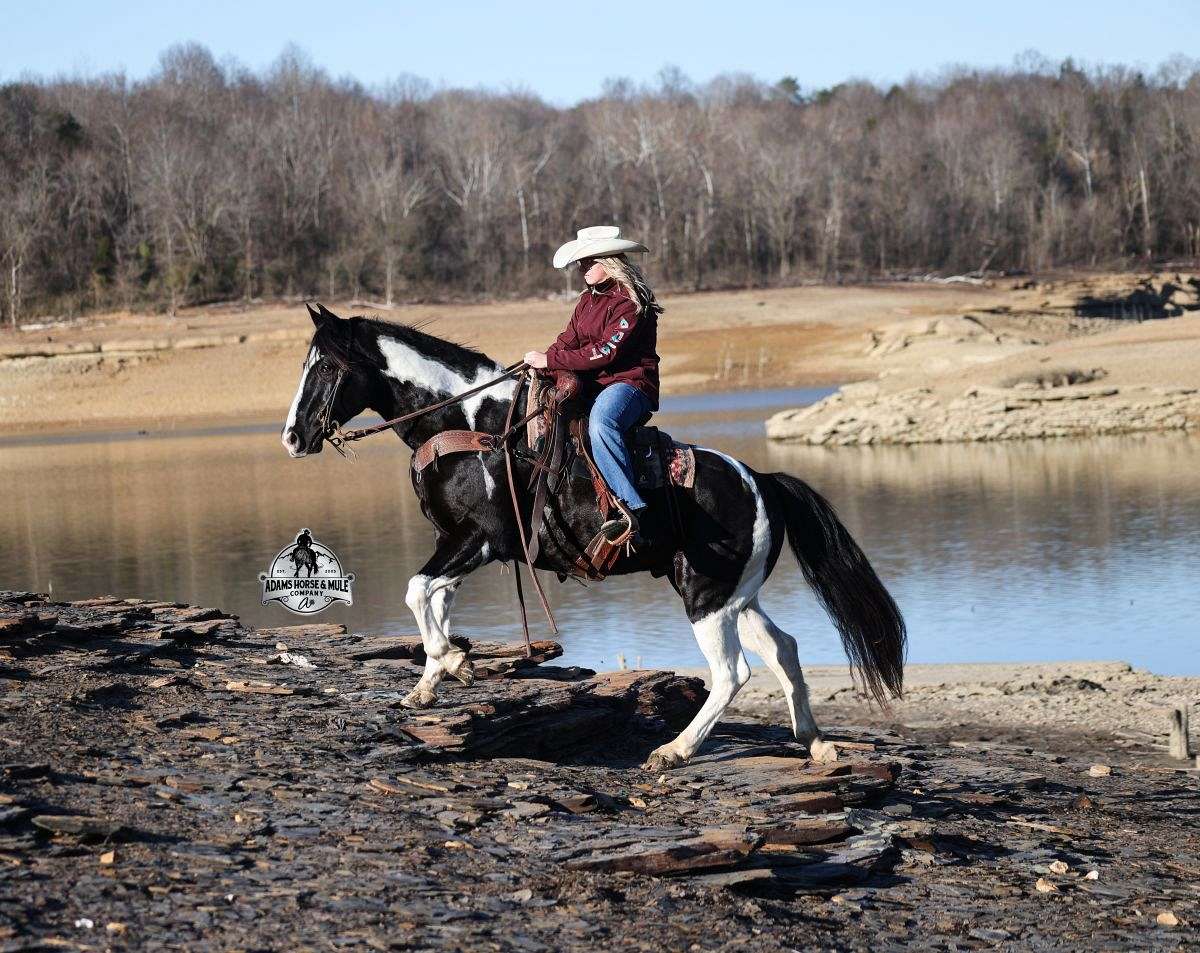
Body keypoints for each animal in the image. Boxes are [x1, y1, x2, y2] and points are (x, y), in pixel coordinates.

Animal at [281, 302, 906, 770]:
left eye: (325, 366)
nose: (292, 437)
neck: (472, 427)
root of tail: (762, 481)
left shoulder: (477, 540)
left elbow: (417, 591)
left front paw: (453, 663)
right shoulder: (458, 545)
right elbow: (434, 598)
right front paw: (433, 681)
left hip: (705, 597)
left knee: (733, 673)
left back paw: (674, 750)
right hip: (736, 596)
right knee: (784, 648)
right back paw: (815, 742)